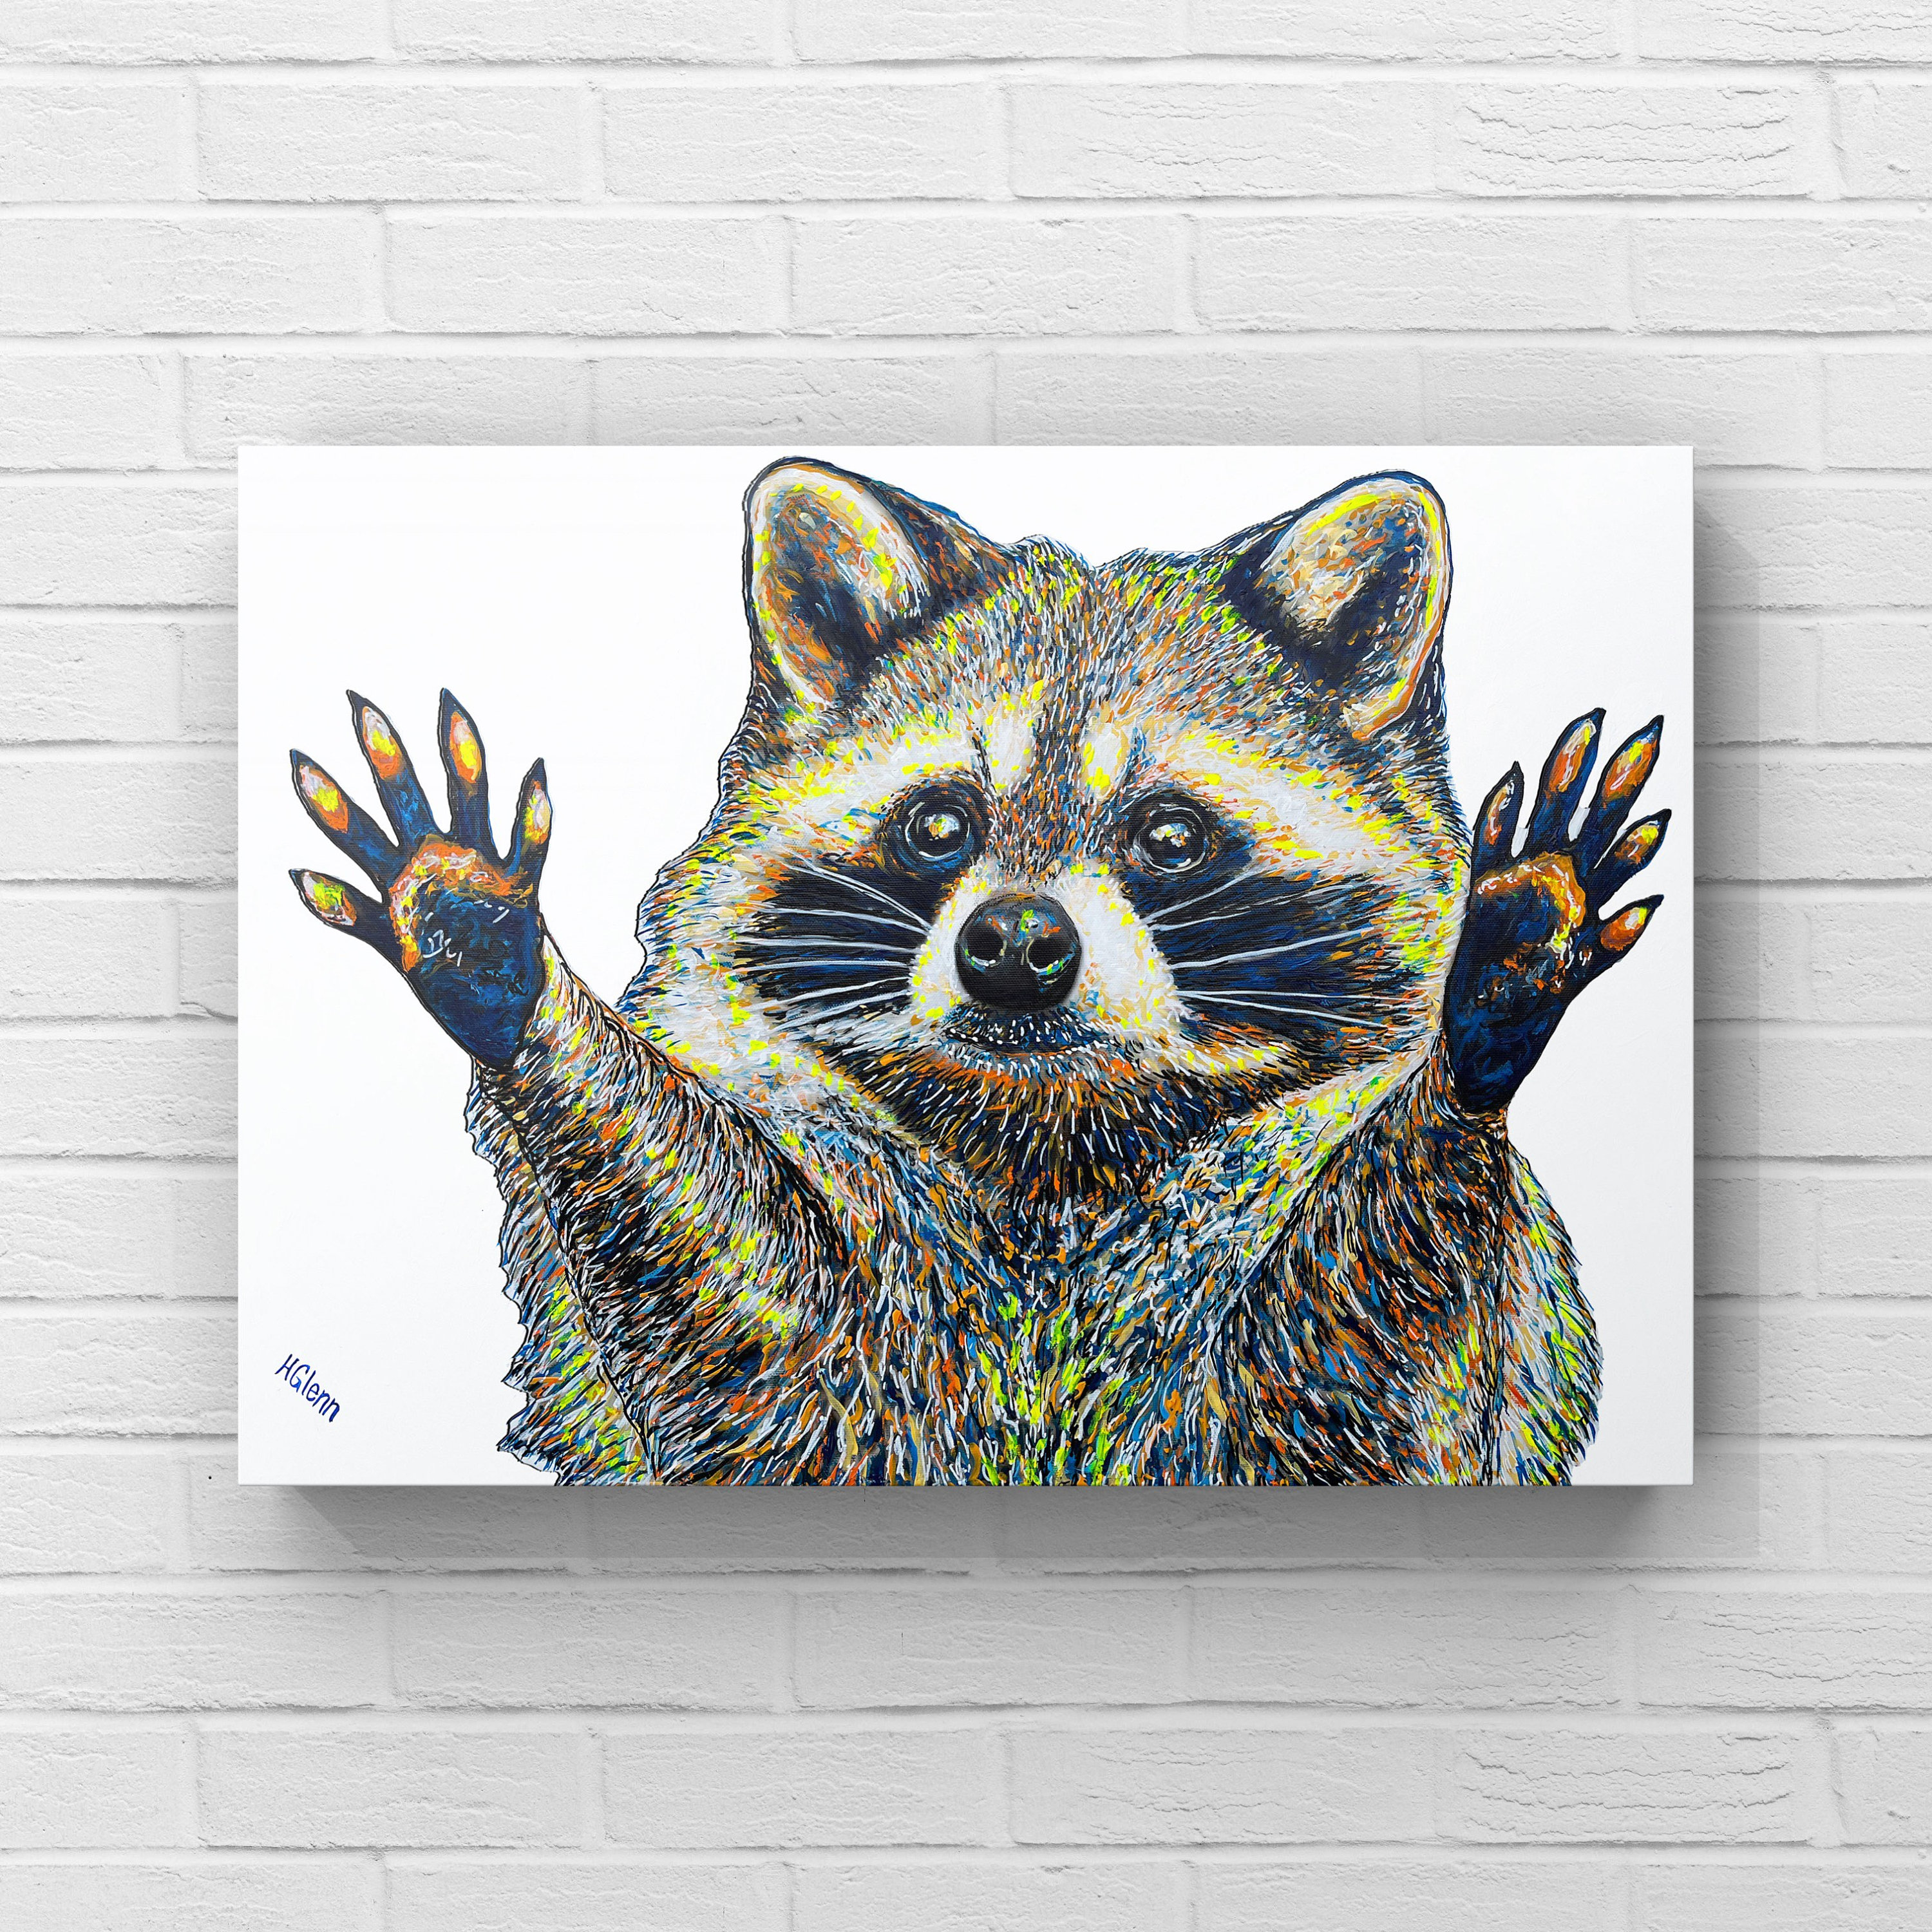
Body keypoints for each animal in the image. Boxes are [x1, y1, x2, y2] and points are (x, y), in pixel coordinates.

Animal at [288, 460, 1667, 1485]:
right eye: (940, 824)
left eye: (1170, 837)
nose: (1014, 948)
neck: (1051, 1145)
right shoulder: (816, 1335)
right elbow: (719, 1295)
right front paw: (512, 985)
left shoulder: (1365, 1357)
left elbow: (1367, 1359)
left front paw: (1486, 1016)